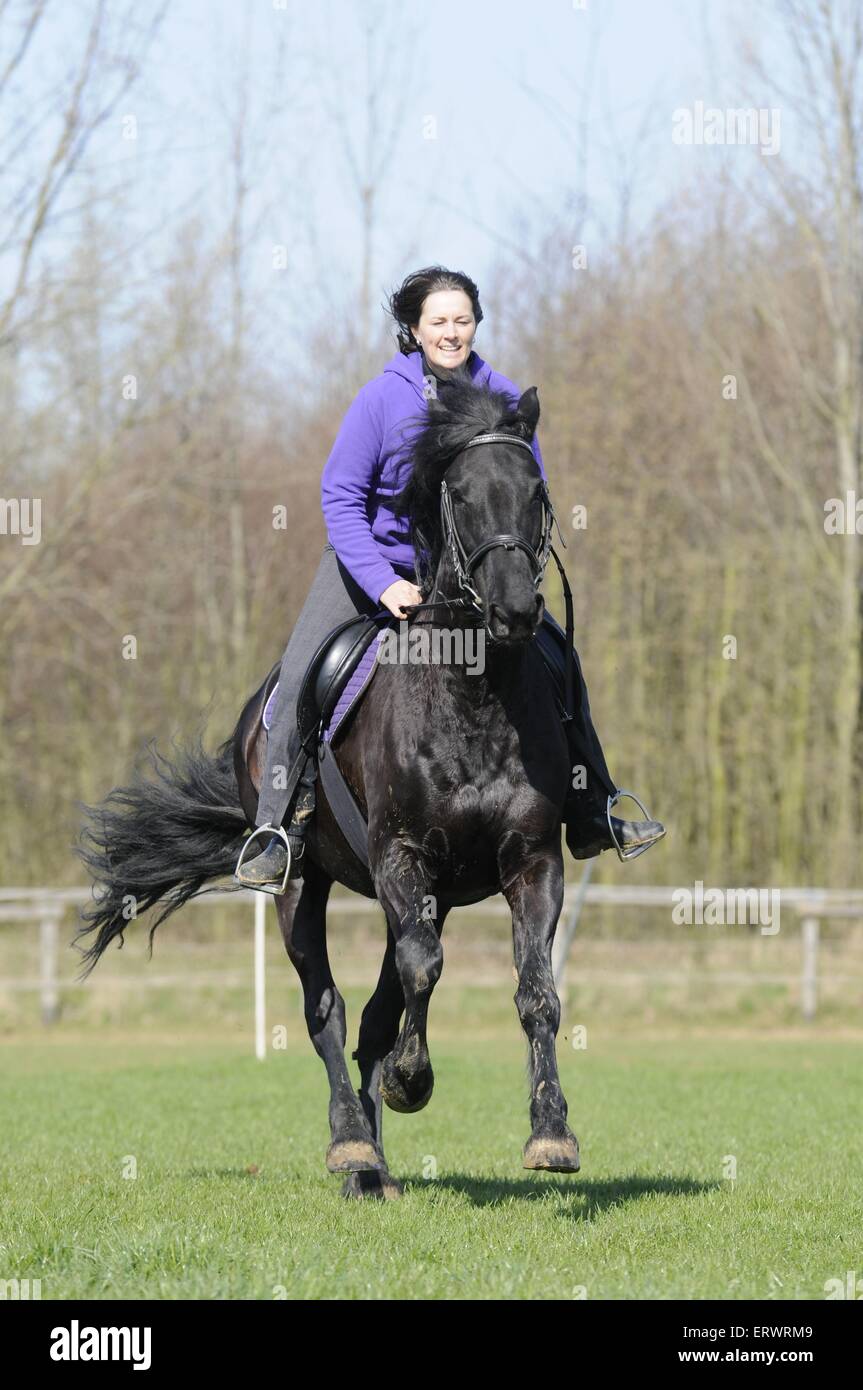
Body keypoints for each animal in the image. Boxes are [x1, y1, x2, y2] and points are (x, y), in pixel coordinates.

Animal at [77, 376, 582, 1200]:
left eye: (536, 491)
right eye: (462, 495)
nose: (513, 611)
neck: (473, 694)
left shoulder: (531, 863)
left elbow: (533, 989)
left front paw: (550, 1133)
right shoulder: (400, 857)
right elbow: (417, 973)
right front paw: (411, 1082)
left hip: (425, 894)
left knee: (378, 1008)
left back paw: (374, 1164)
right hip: (298, 884)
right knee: (328, 1008)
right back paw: (352, 1146)